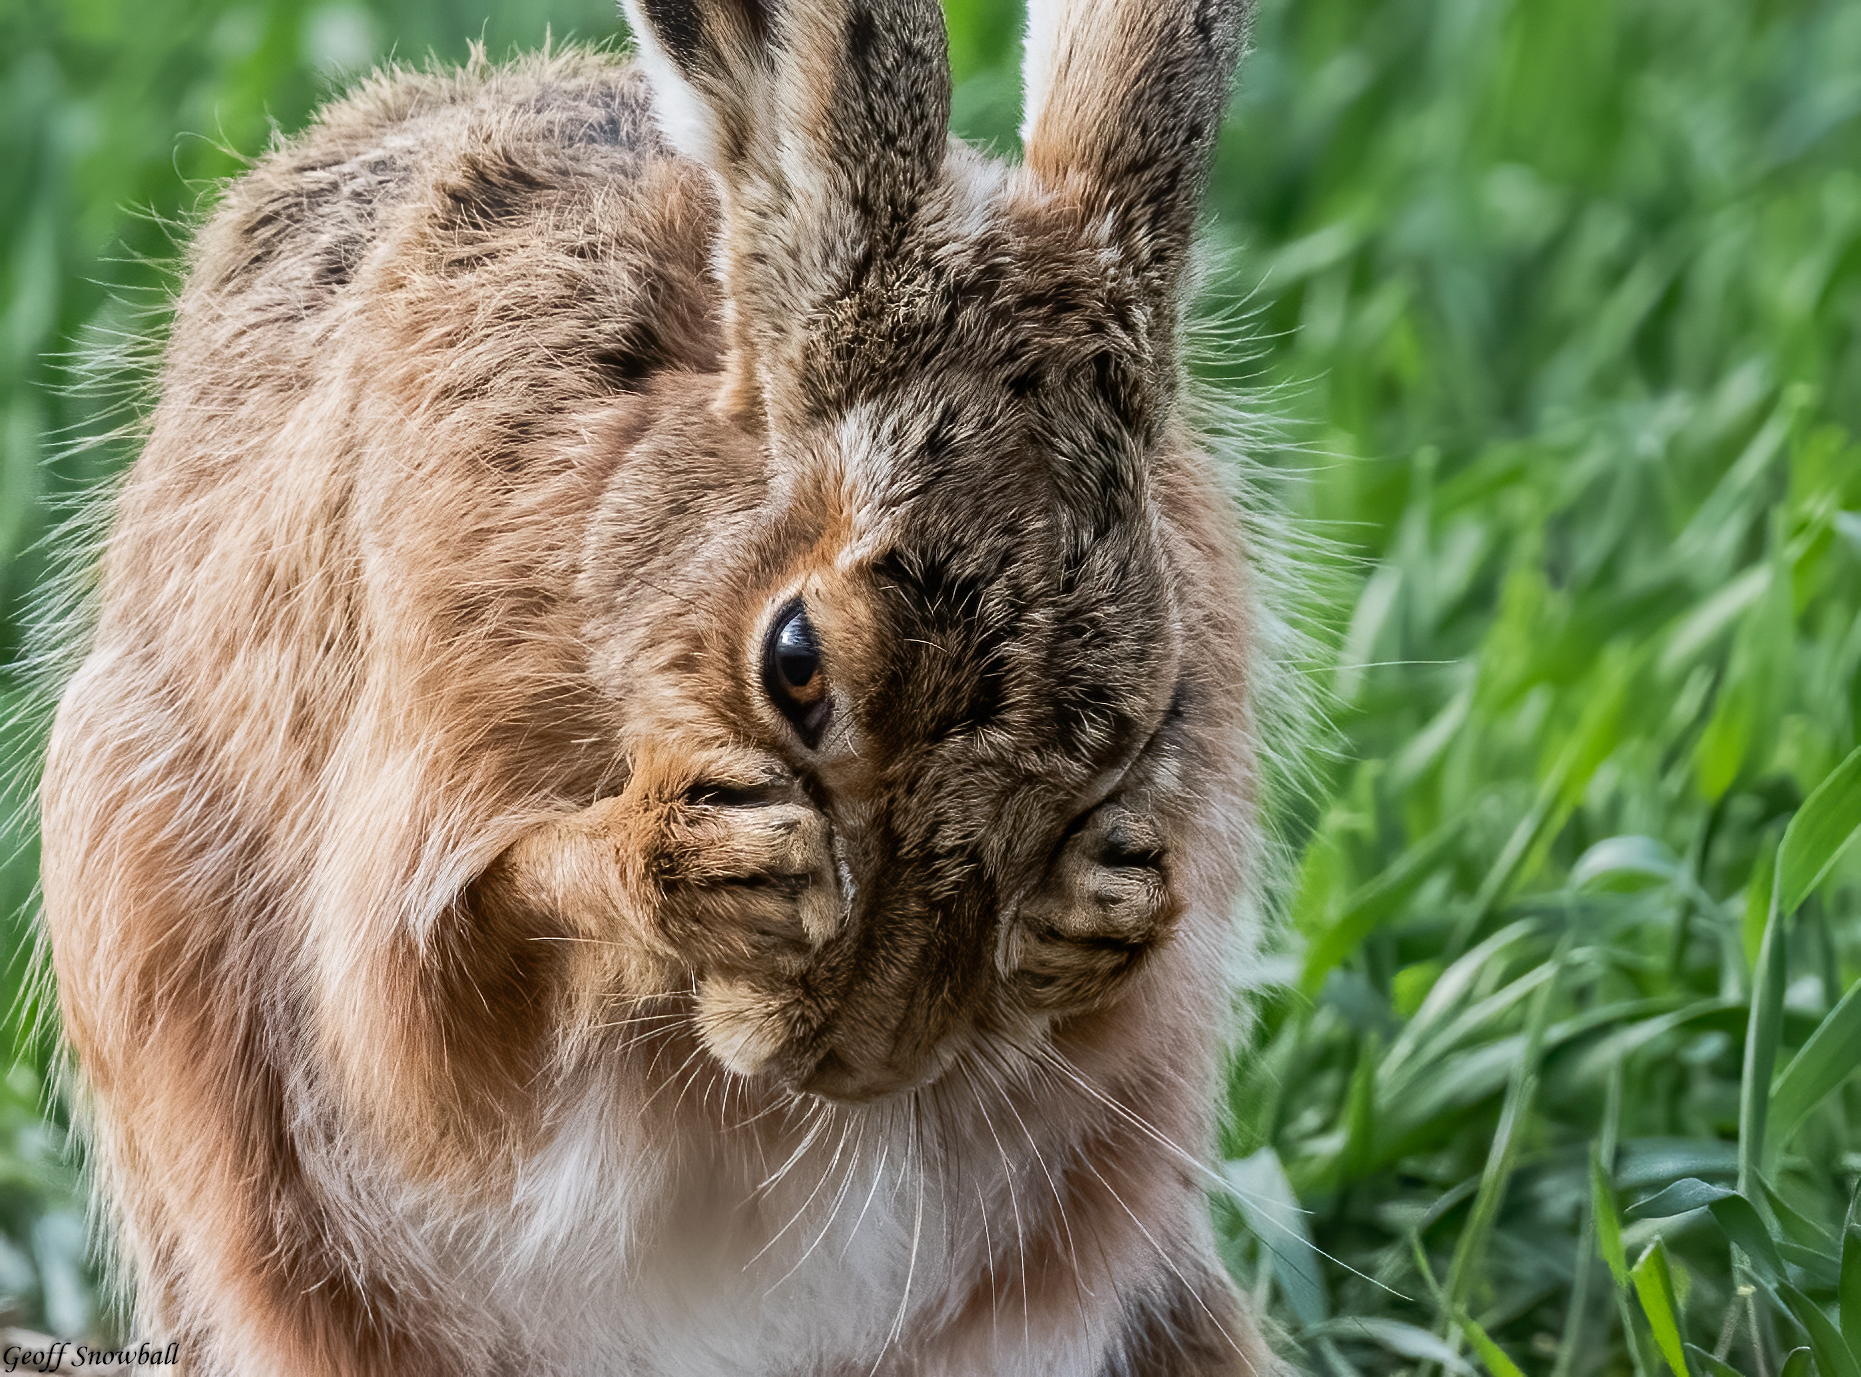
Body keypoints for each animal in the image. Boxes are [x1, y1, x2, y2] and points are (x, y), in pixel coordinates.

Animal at [37, 0, 1288, 1372]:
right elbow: (440, 992)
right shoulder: (397, 815)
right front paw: (692, 863)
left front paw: (1094, 906)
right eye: (794, 664)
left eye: (1154, 712)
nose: (864, 1061)